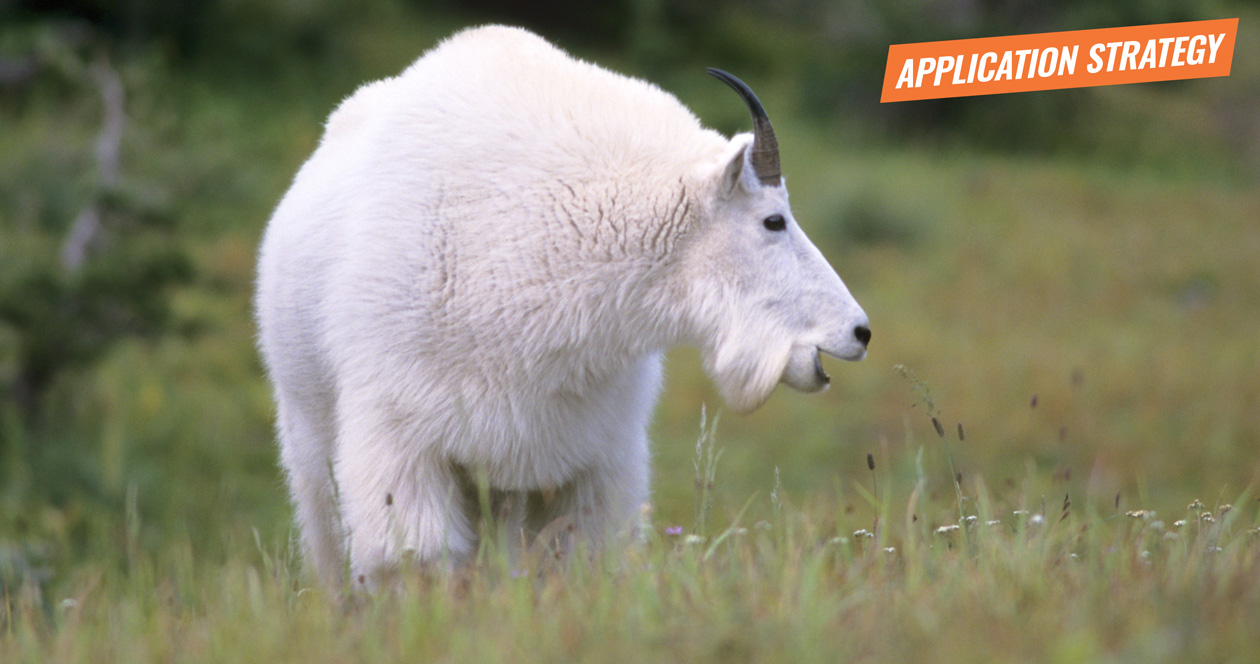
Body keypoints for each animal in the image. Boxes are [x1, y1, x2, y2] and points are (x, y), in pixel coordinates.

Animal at [255, 25, 870, 590]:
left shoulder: (585, 459)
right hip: (310, 440)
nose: (859, 332)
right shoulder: (402, 441)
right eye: (773, 220)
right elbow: (418, 560)